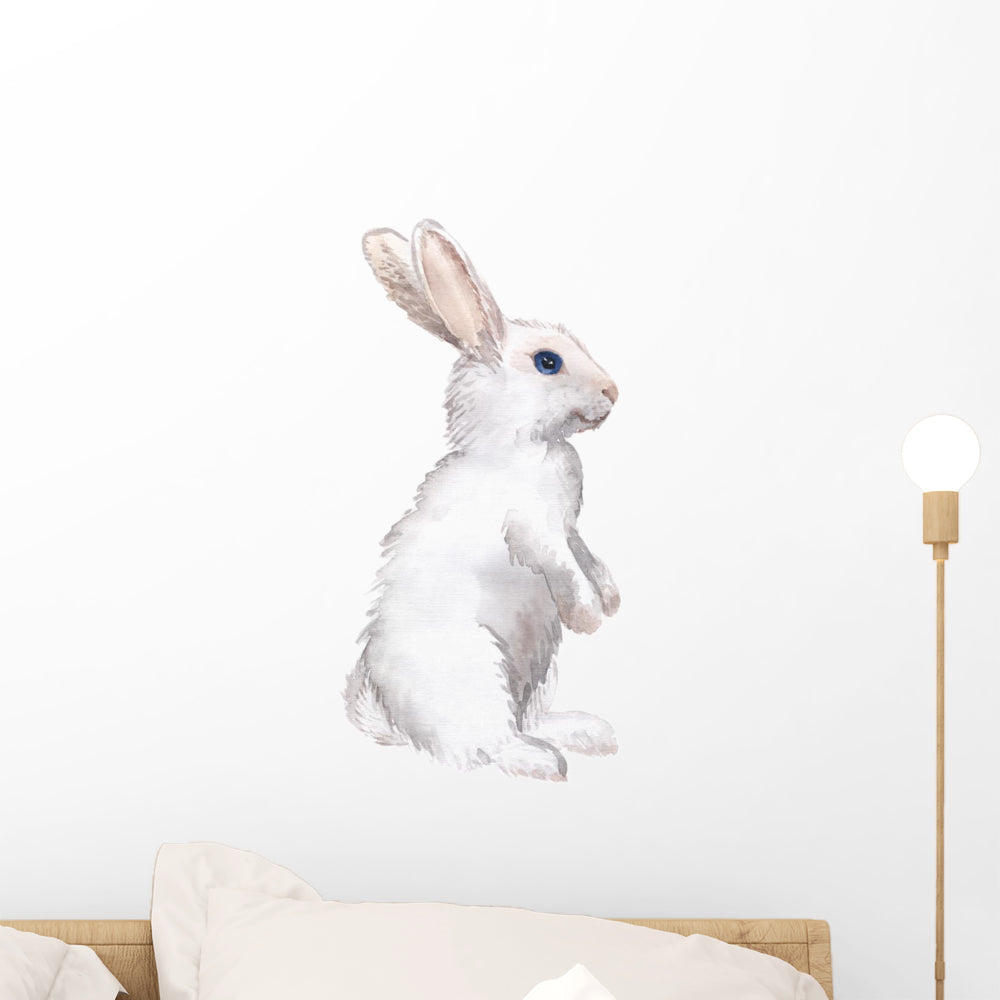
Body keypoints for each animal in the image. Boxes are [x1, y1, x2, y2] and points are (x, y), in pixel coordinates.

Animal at [344, 220, 619, 781]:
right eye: (548, 362)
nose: (614, 392)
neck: (529, 447)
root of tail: (399, 724)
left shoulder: (568, 526)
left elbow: (585, 554)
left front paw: (611, 599)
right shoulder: (533, 531)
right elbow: (564, 567)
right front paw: (588, 617)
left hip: (539, 674)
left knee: (522, 724)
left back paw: (587, 734)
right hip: (481, 669)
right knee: (483, 747)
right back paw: (542, 763)